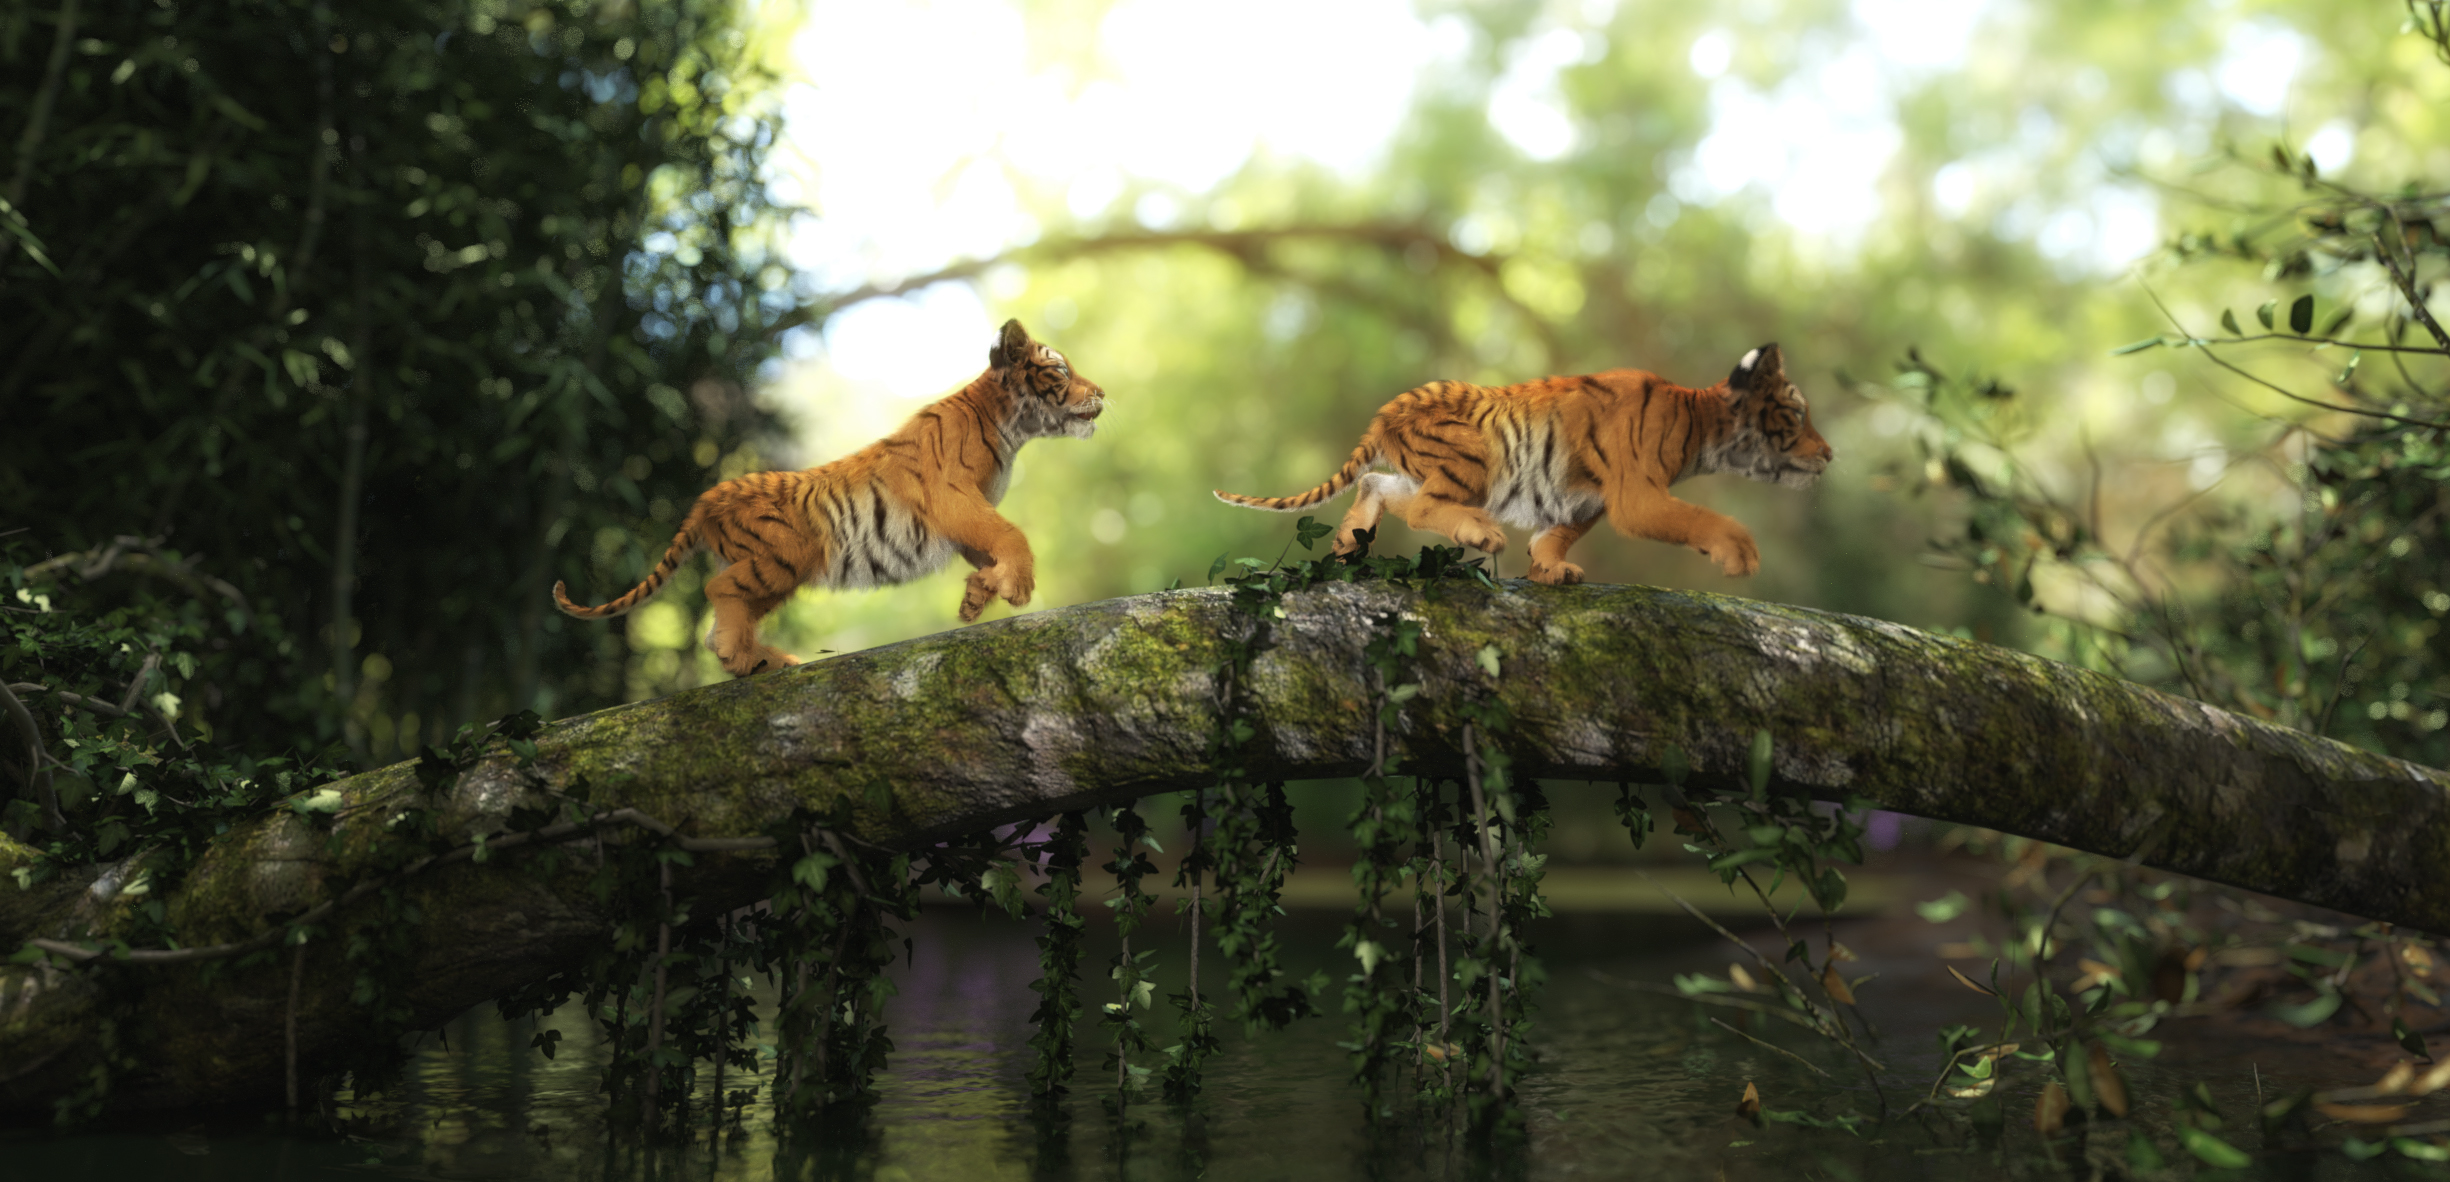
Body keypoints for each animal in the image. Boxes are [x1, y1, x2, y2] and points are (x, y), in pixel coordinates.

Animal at [553, 319, 1106, 677]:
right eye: (1060, 372)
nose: (1102, 391)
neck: (1010, 425)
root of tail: (706, 498)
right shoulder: (954, 498)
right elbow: (1010, 534)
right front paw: (1015, 587)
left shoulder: (965, 516)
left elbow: (990, 546)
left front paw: (977, 597)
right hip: (785, 556)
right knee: (717, 590)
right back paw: (744, 656)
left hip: (773, 569)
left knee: (721, 616)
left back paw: (756, 659)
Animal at [1213, 344, 1831, 584]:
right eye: (1798, 413)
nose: (1828, 452)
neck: (1703, 426)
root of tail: (1389, 409)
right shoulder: (1635, 496)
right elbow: (1699, 518)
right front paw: (1739, 553)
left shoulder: (1590, 495)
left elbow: (1559, 532)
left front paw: (1550, 568)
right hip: (1473, 460)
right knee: (1422, 508)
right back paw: (1479, 532)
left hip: (1431, 467)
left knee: (1375, 483)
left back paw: (1348, 547)